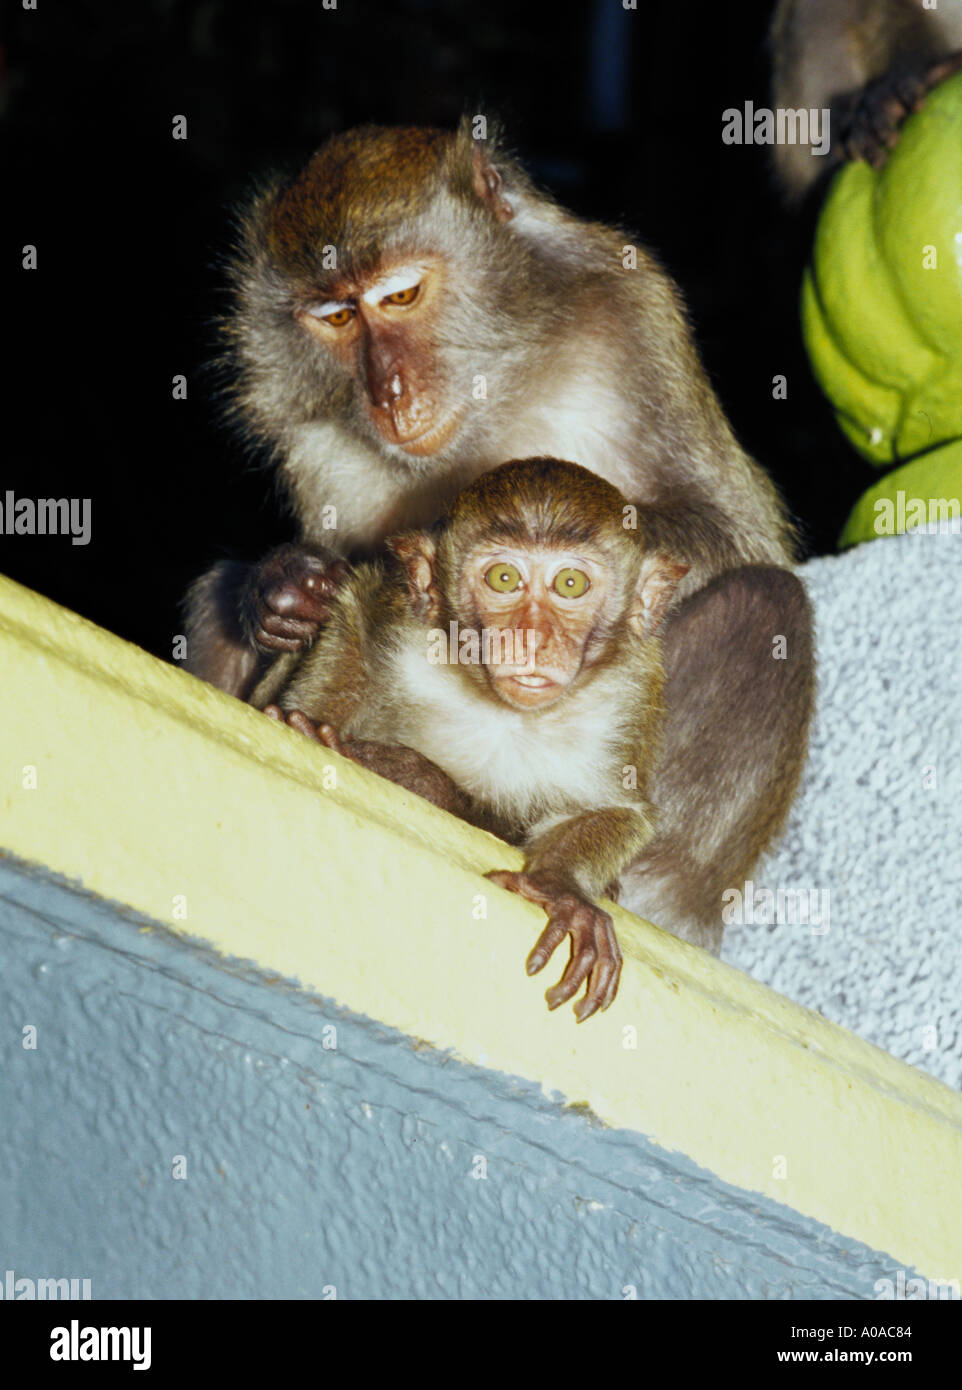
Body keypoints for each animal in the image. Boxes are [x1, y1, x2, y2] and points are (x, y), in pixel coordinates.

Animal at [185, 119, 815, 965]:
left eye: (402, 296)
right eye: (338, 317)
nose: (390, 393)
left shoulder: (631, 306)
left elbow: (732, 531)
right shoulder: (303, 424)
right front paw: (282, 588)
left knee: (765, 604)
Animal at [252, 458, 690, 1022]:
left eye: (570, 584)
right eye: (504, 579)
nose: (530, 638)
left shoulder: (630, 692)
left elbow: (621, 812)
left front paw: (562, 889)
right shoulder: (406, 612)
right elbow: (355, 614)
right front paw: (307, 726)